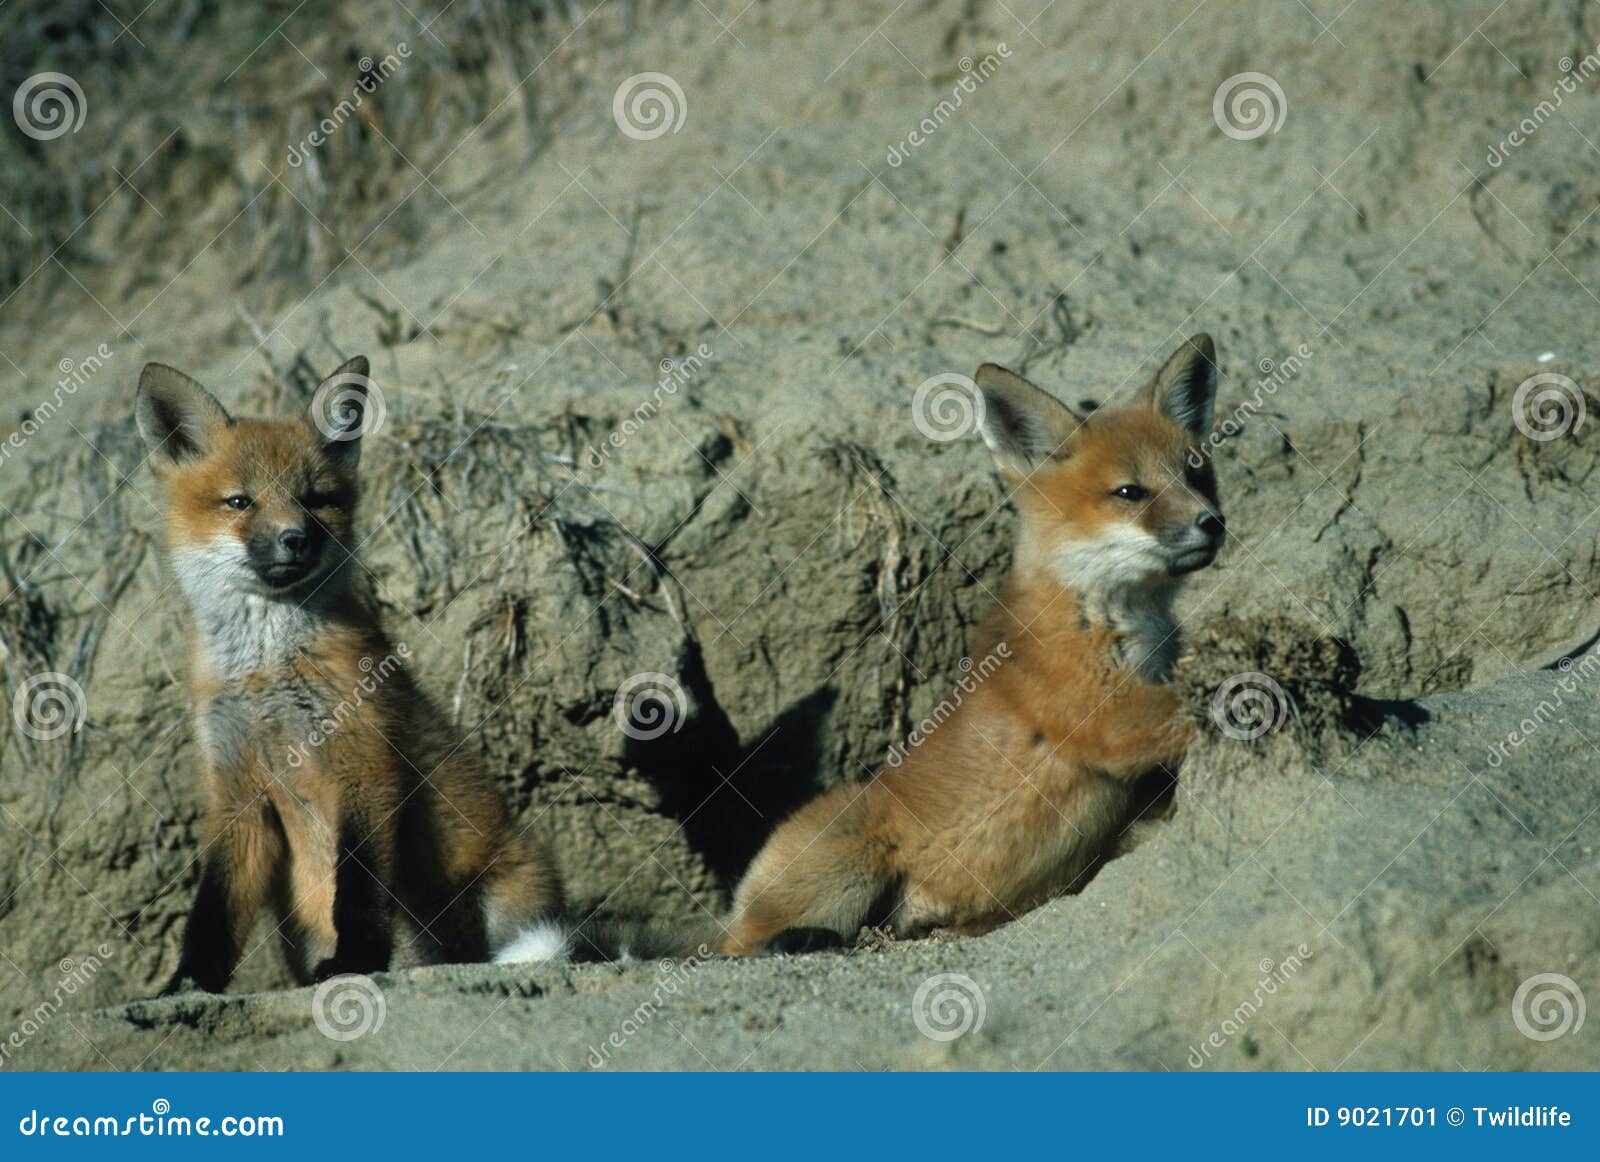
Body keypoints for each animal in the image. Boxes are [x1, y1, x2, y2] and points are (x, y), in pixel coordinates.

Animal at [136, 357, 566, 993]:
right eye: (240, 502)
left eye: (315, 500)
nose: (295, 538)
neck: (267, 671)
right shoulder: (234, 787)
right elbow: (215, 907)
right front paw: (190, 981)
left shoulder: (362, 760)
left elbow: (358, 887)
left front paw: (357, 958)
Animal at [720, 335, 1226, 955]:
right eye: (1130, 493)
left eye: (1197, 477)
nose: (1212, 522)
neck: (1111, 614)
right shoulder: (1105, 718)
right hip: (849, 857)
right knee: (735, 948)